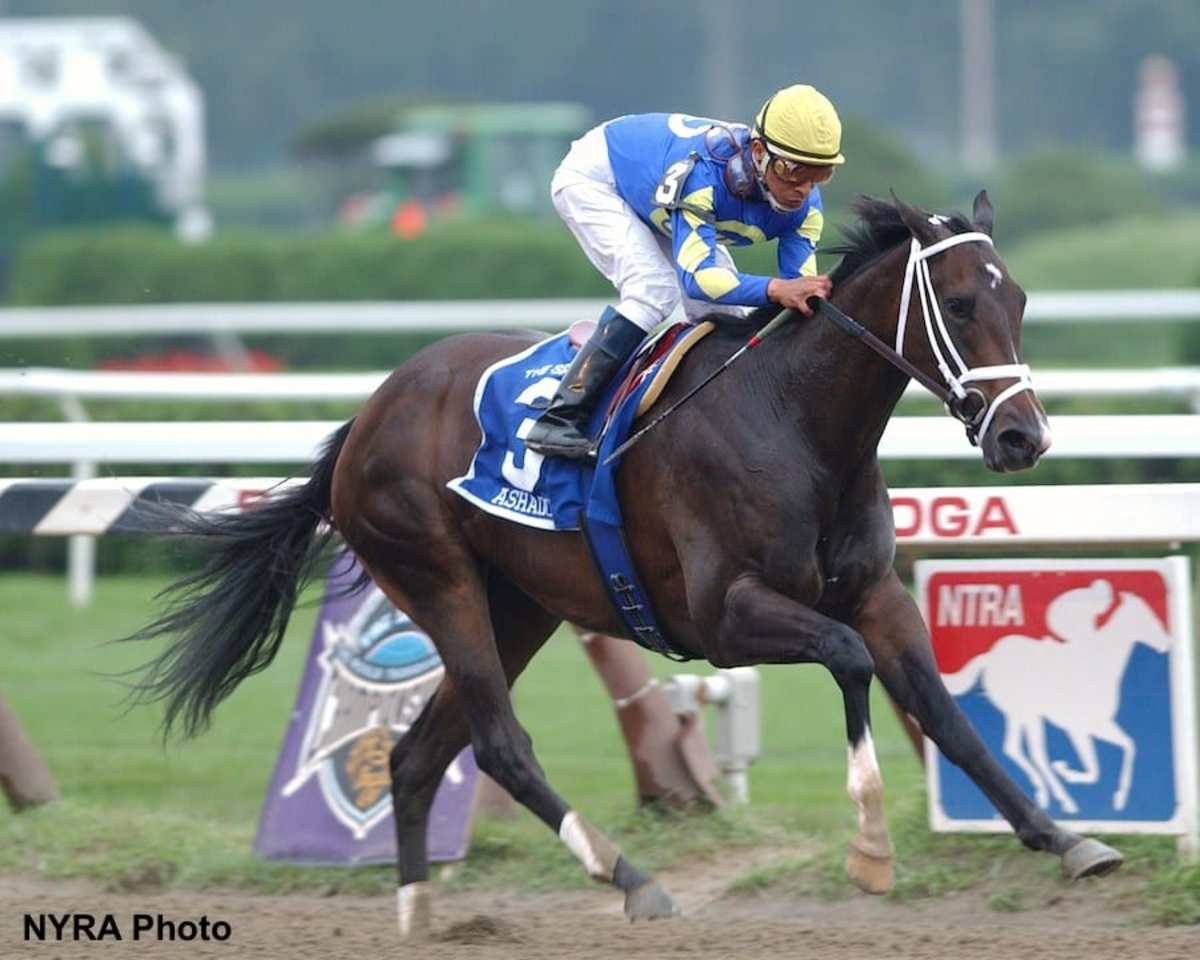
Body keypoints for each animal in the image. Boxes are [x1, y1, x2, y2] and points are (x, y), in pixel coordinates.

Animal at [127, 192, 1123, 937]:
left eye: (1018, 300)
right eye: (957, 305)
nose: (1024, 437)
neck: (796, 420)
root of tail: (368, 416)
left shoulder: (875, 594)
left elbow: (947, 714)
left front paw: (1069, 839)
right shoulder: (726, 617)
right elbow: (846, 661)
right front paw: (872, 848)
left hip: (520, 606)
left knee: (416, 757)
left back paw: (418, 912)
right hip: (436, 578)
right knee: (499, 744)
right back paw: (630, 877)